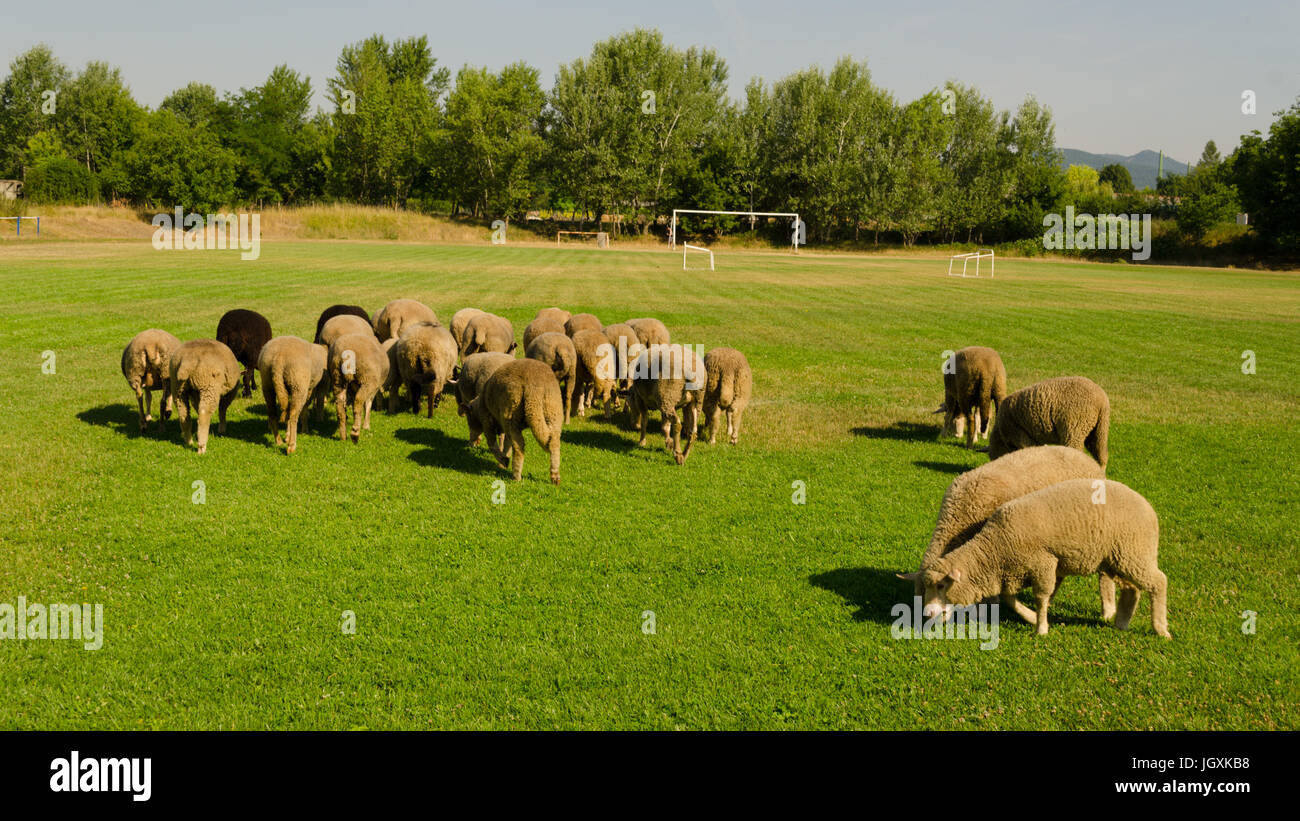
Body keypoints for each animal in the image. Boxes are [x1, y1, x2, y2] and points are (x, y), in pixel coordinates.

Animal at [921, 478, 1169, 638]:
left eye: (941, 585)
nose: (926, 614)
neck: (995, 549)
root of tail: (1148, 507)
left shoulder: (1043, 564)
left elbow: (1041, 597)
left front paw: (1040, 628)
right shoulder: (1014, 571)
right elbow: (1010, 598)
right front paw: (1030, 617)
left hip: (1135, 552)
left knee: (1159, 582)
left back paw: (1160, 629)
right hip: (1117, 559)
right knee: (1132, 589)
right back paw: (1122, 623)